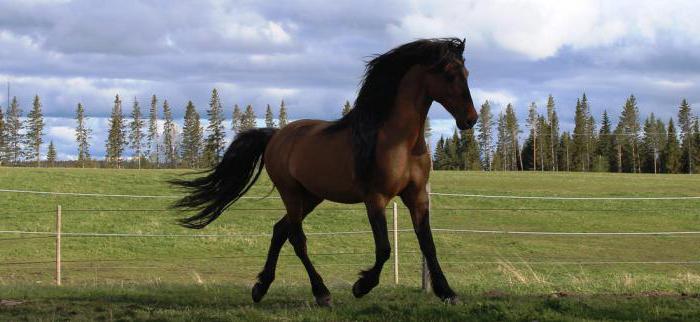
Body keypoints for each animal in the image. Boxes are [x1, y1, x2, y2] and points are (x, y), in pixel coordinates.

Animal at [174, 37, 478, 304]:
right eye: (449, 74)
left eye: (467, 72)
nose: (470, 119)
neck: (397, 140)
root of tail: (275, 136)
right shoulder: (375, 199)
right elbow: (384, 248)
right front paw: (361, 286)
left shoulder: (417, 197)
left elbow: (428, 244)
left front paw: (447, 292)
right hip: (291, 193)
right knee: (297, 238)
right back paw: (321, 293)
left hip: (311, 196)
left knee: (280, 230)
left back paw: (261, 288)